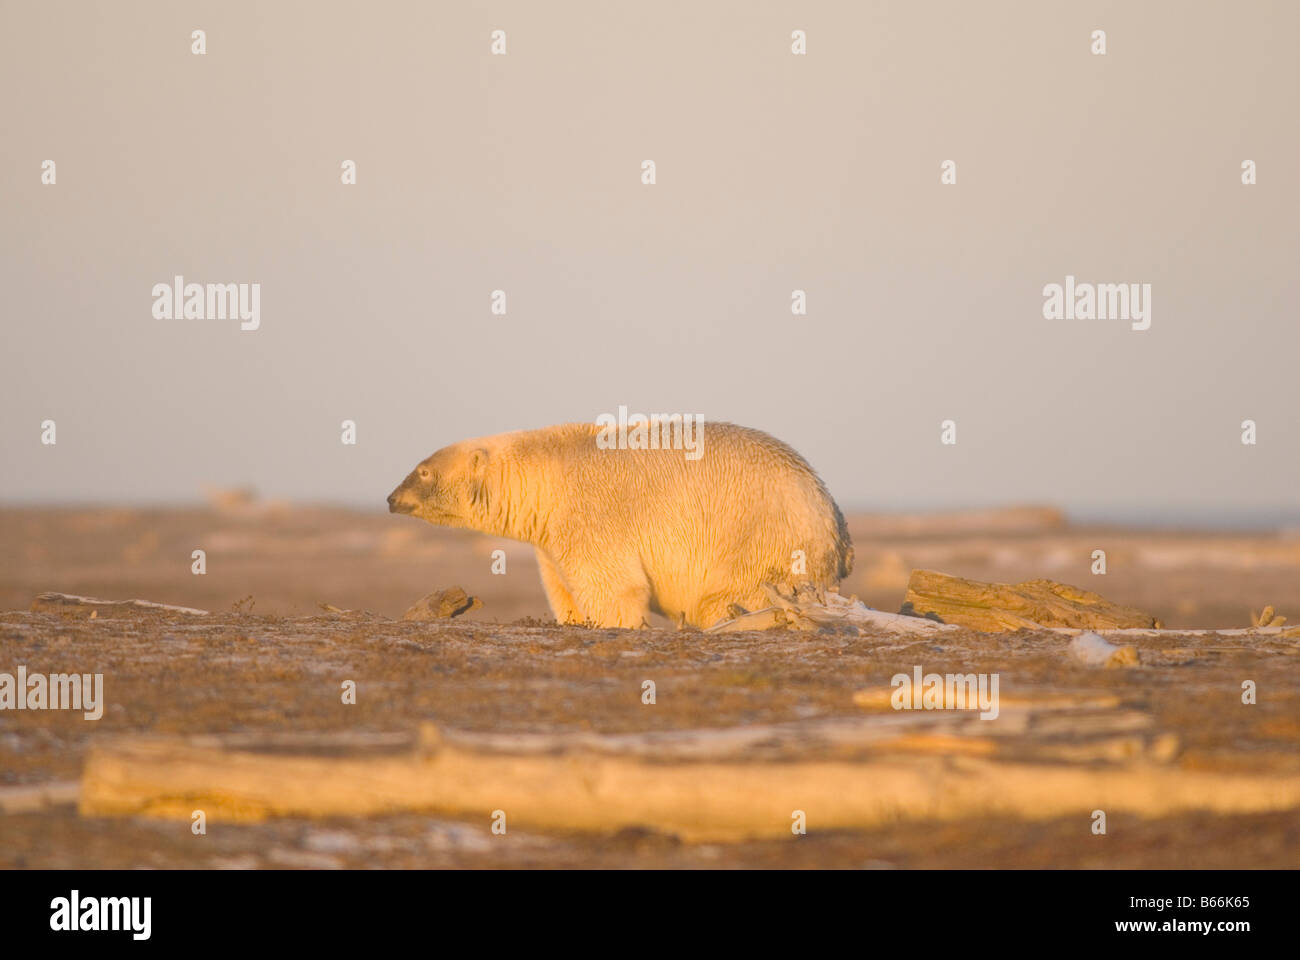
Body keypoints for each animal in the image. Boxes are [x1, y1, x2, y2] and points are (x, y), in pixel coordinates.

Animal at [387, 421, 853, 629]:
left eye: (423, 471)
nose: (391, 498)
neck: (546, 476)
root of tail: (830, 507)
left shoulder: (589, 512)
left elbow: (612, 586)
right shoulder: (549, 537)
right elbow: (563, 589)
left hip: (764, 539)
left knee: (726, 596)